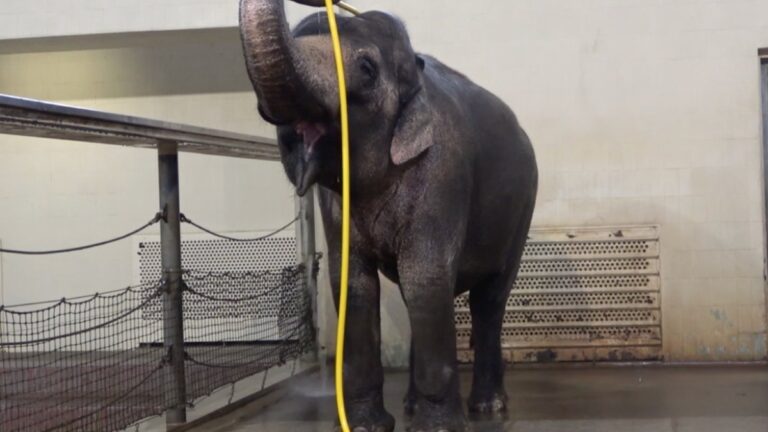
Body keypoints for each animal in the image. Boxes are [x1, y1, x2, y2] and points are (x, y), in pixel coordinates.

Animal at [239, 1, 538, 431]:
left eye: (366, 70)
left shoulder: (442, 172)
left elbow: (425, 275)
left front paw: (438, 428)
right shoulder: (335, 203)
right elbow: (352, 282)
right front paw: (367, 425)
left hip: (522, 210)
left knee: (488, 299)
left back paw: (489, 408)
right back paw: (414, 405)